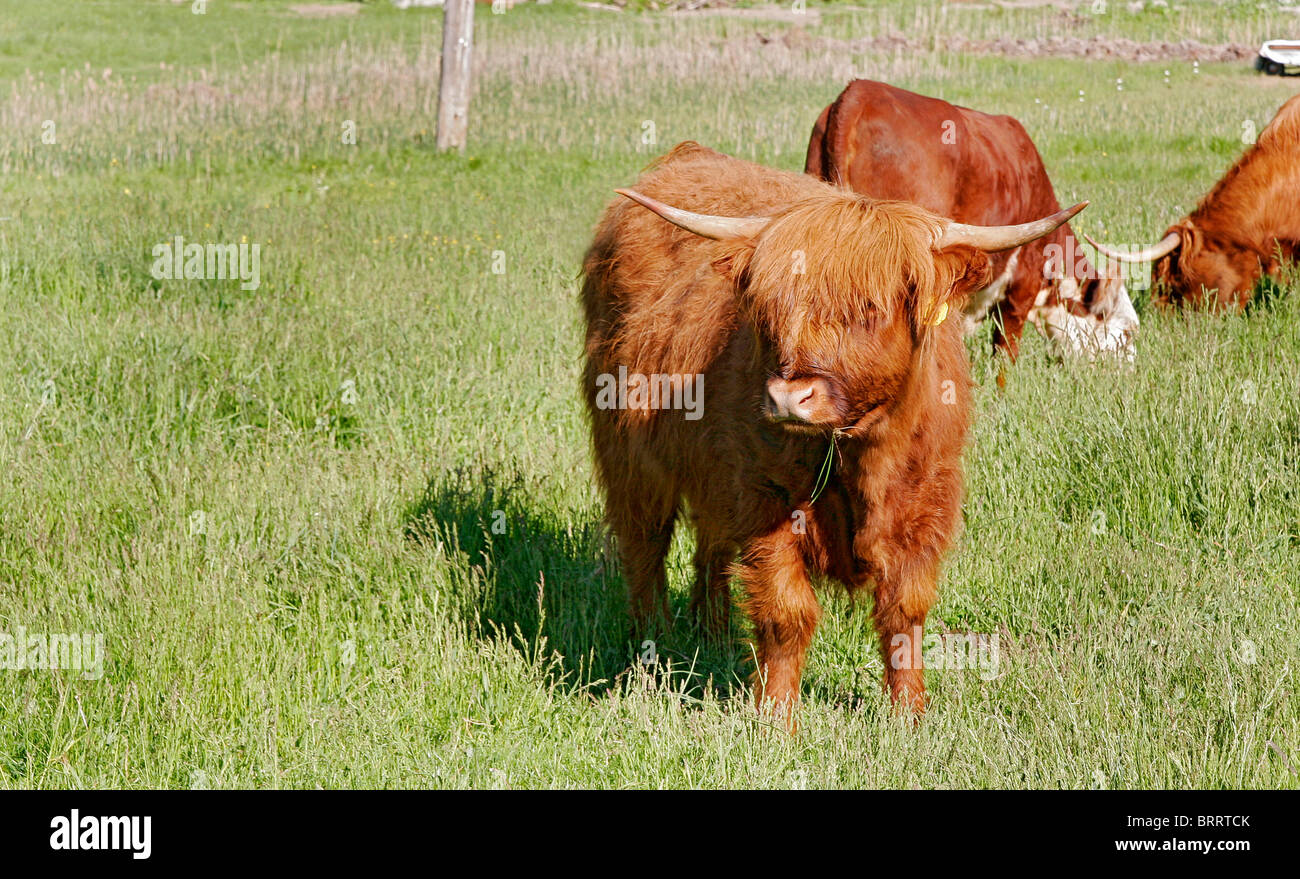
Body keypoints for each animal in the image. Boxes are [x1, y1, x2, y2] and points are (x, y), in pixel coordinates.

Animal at [581, 142, 1083, 728]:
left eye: (869, 309)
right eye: (771, 309)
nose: (787, 398)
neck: (860, 456)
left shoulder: (927, 502)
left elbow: (905, 612)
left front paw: (909, 714)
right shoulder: (765, 500)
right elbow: (786, 613)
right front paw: (776, 718)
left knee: (709, 547)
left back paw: (714, 636)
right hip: (628, 455)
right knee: (645, 546)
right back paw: (653, 647)